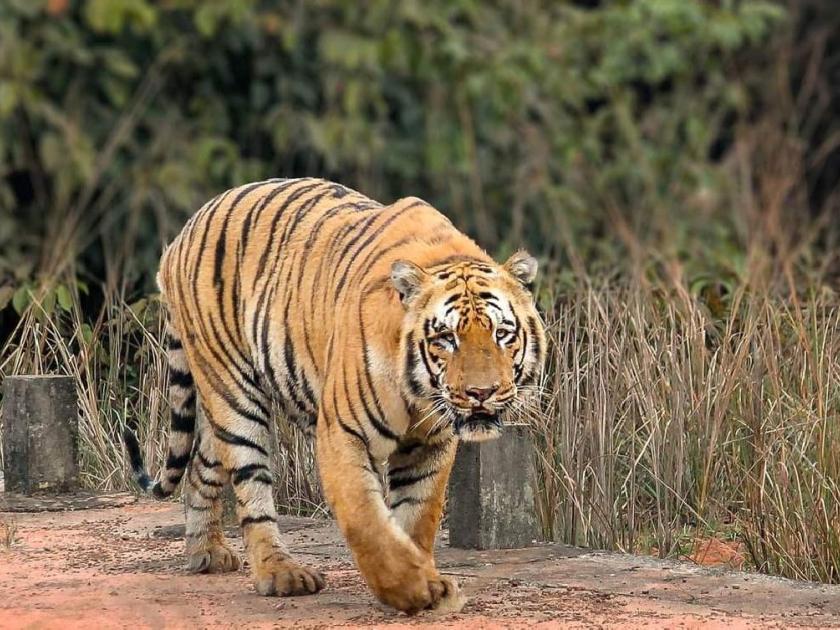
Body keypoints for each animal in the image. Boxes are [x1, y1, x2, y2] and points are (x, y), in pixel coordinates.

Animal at [124, 177, 546, 614]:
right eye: (446, 338)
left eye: (502, 334)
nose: (481, 393)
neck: (420, 394)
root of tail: (182, 235)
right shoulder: (343, 431)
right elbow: (365, 518)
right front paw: (409, 588)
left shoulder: (431, 442)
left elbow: (417, 515)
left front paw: (424, 580)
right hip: (233, 391)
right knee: (250, 486)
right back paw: (281, 573)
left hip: (217, 405)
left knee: (200, 465)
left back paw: (205, 552)